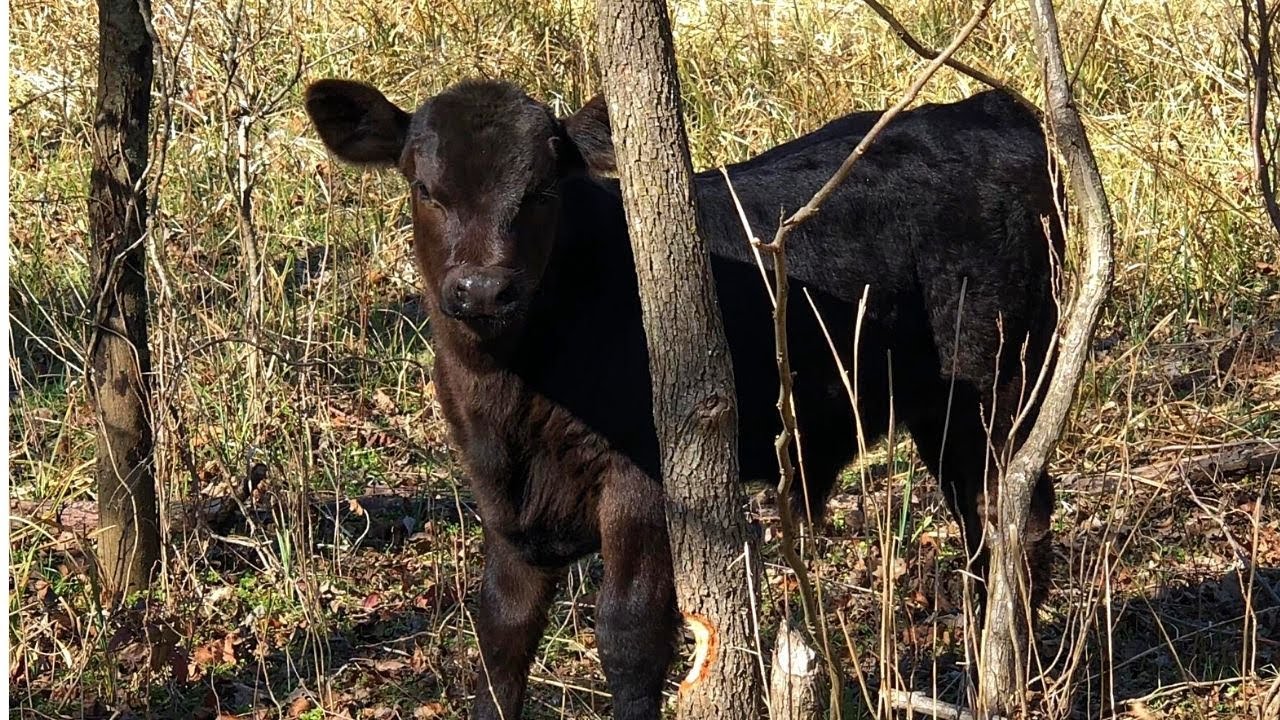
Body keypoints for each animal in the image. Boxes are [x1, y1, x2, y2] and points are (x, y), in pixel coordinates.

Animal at [304, 77, 1062, 720]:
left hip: (998, 385)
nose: (483, 290)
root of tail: (982, 107)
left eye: (541, 192)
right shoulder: (501, 495)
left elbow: (630, 632)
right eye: (425, 189)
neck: (517, 389)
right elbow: (501, 636)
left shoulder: (641, 480)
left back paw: (1008, 674)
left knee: (1011, 517)